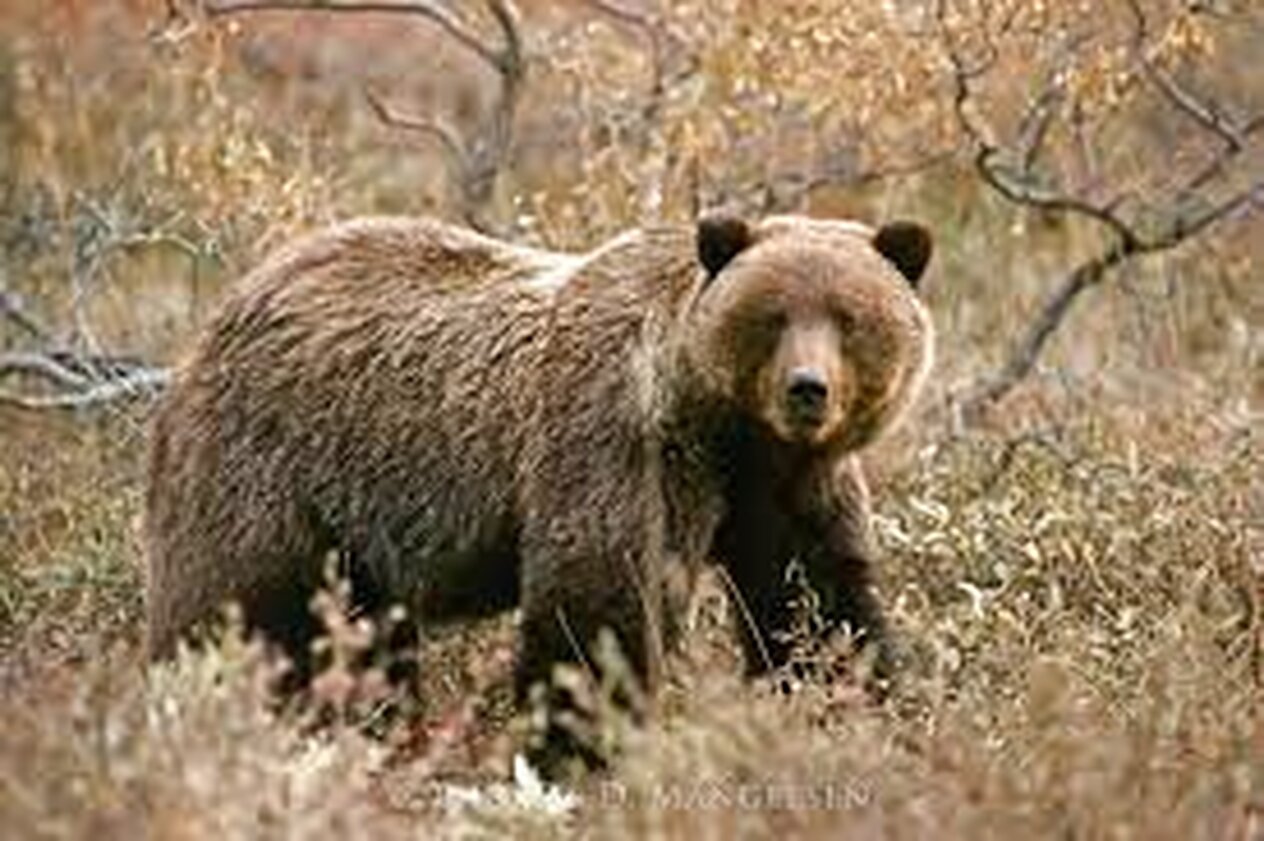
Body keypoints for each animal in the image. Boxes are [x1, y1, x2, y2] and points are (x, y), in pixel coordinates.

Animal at [144, 212, 934, 769]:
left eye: (849, 318)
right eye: (772, 317)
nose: (808, 389)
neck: (732, 432)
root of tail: (220, 314)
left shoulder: (789, 488)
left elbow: (818, 606)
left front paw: (853, 710)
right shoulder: (623, 441)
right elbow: (599, 601)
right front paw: (576, 752)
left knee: (363, 636)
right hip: (273, 465)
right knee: (245, 615)